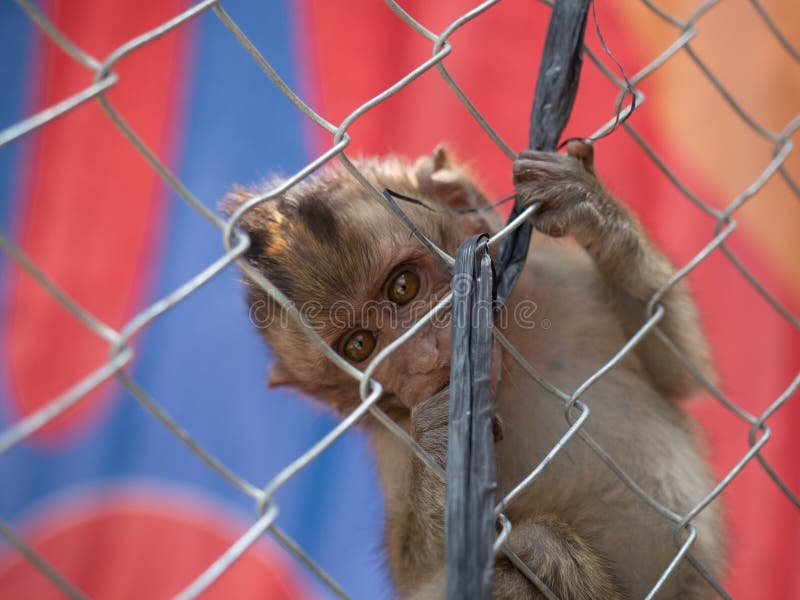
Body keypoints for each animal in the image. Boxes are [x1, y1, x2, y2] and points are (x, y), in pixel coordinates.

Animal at [223, 141, 725, 599]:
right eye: (360, 345)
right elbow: (424, 581)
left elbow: (677, 370)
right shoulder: (392, 435)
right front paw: (443, 429)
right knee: (538, 547)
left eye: (403, 286)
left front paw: (589, 205)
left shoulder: (558, 277)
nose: (424, 356)